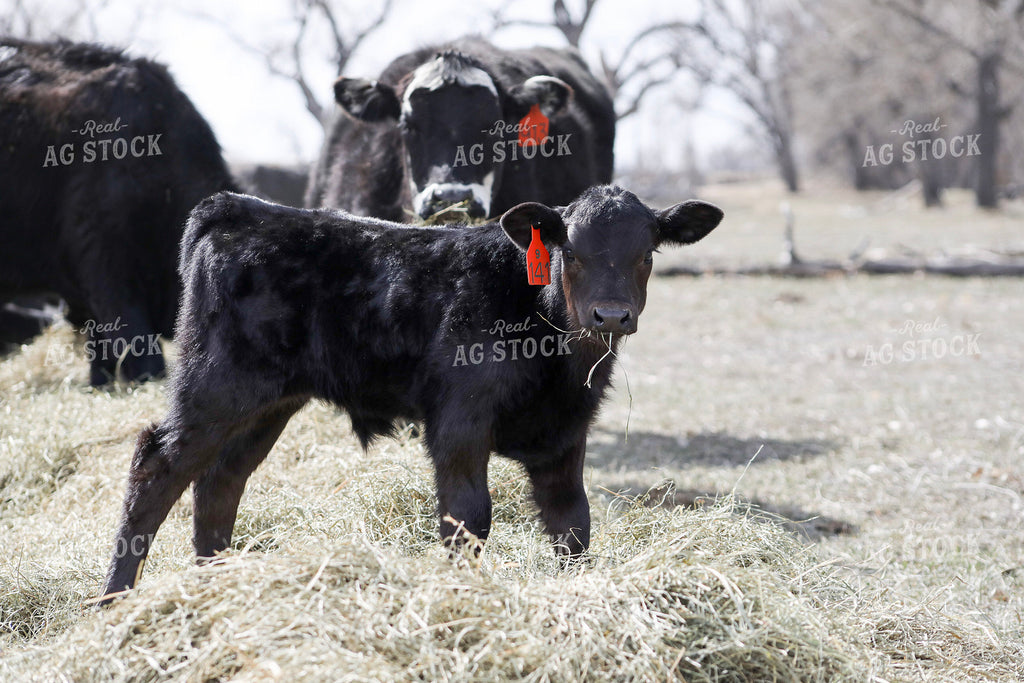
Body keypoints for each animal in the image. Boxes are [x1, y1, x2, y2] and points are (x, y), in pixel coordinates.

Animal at [100, 185, 723, 602]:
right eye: (571, 250)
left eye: (647, 253)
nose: (610, 315)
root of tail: (234, 208)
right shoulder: (458, 423)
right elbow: (468, 519)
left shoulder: (566, 434)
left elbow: (573, 522)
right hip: (214, 388)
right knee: (156, 471)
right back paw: (114, 600)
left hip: (267, 404)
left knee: (219, 482)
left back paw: (214, 588)